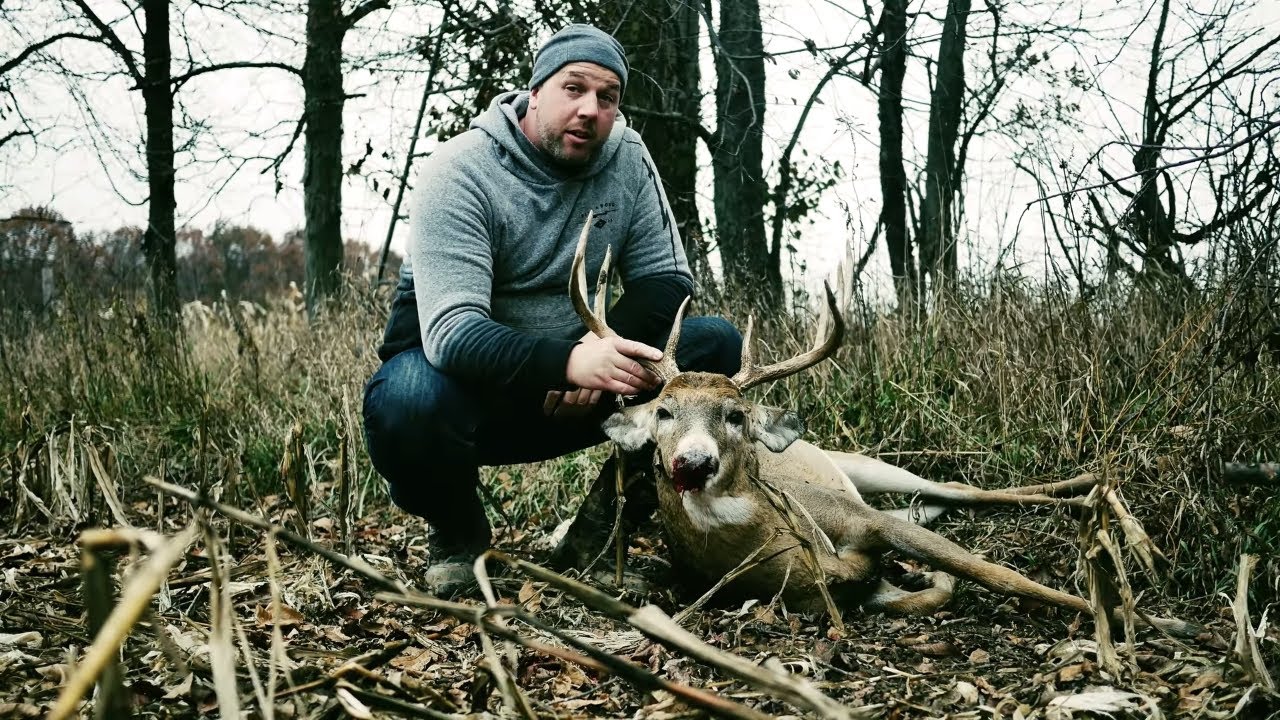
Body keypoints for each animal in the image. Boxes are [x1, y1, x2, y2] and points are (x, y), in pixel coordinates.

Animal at [567, 216, 1197, 636]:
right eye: (664, 411)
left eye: (736, 415)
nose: (692, 463)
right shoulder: (831, 589)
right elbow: (928, 593)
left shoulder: (857, 518)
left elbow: (994, 571)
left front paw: (1169, 623)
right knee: (945, 500)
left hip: (865, 469)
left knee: (962, 488)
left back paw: (1118, 513)